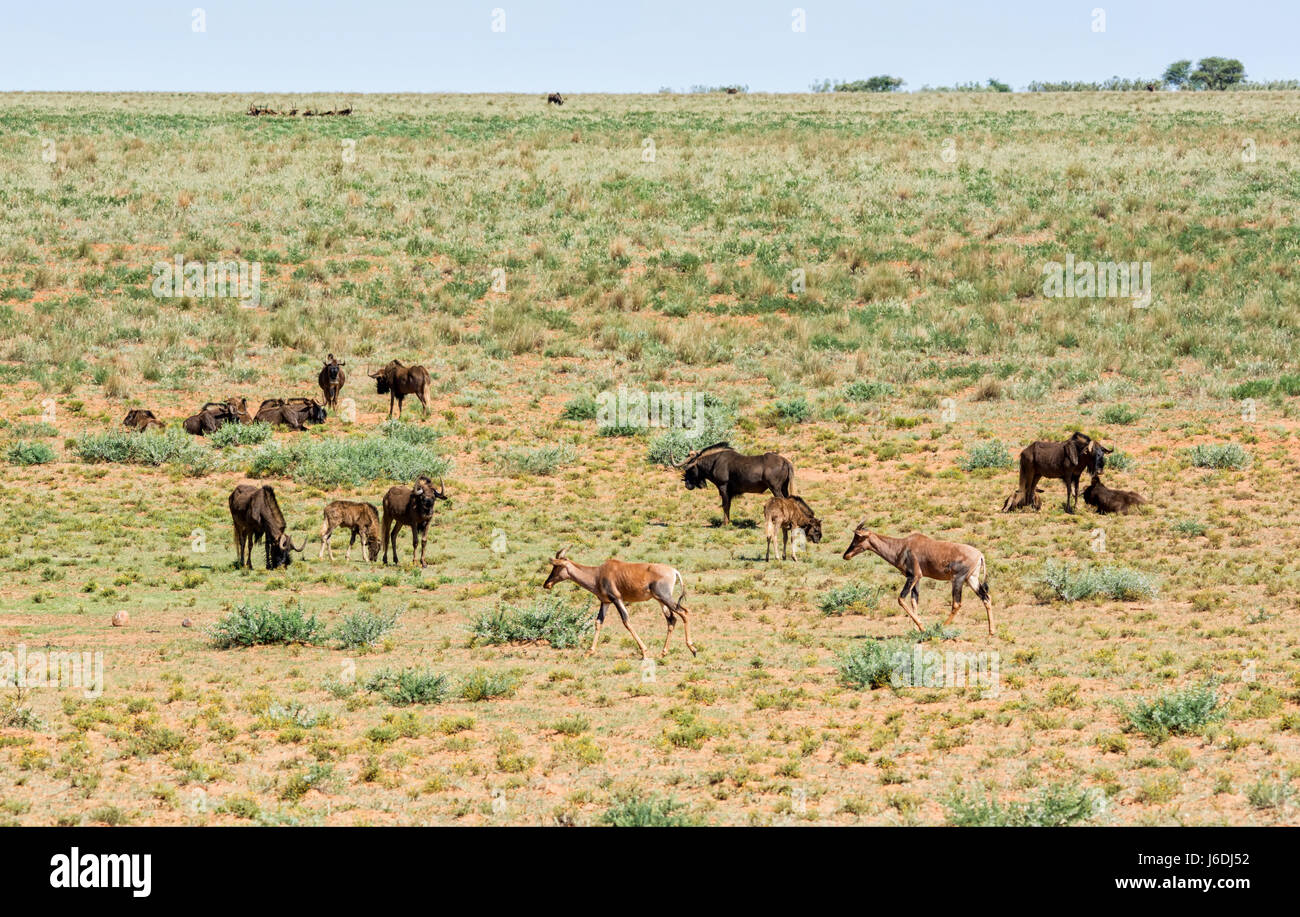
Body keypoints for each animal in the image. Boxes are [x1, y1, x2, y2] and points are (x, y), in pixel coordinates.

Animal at [541, 548, 697, 659]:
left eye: (557, 567)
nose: (546, 584)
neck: (598, 573)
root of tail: (674, 571)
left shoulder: (617, 599)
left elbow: (626, 621)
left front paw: (644, 651)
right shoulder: (605, 602)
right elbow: (598, 622)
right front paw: (589, 652)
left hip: (664, 597)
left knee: (684, 612)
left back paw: (693, 649)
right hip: (660, 600)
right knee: (672, 619)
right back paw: (663, 652)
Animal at [842, 525, 994, 636]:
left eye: (858, 538)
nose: (845, 555)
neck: (904, 546)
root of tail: (980, 555)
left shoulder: (913, 576)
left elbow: (901, 599)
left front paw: (922, 628)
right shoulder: (918, 579)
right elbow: (914, 601)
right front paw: (916, 629)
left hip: (958, 579)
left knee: (957, 604)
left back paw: (941, 628)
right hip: (972, 579)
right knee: (986, 597)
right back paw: (991, 631)